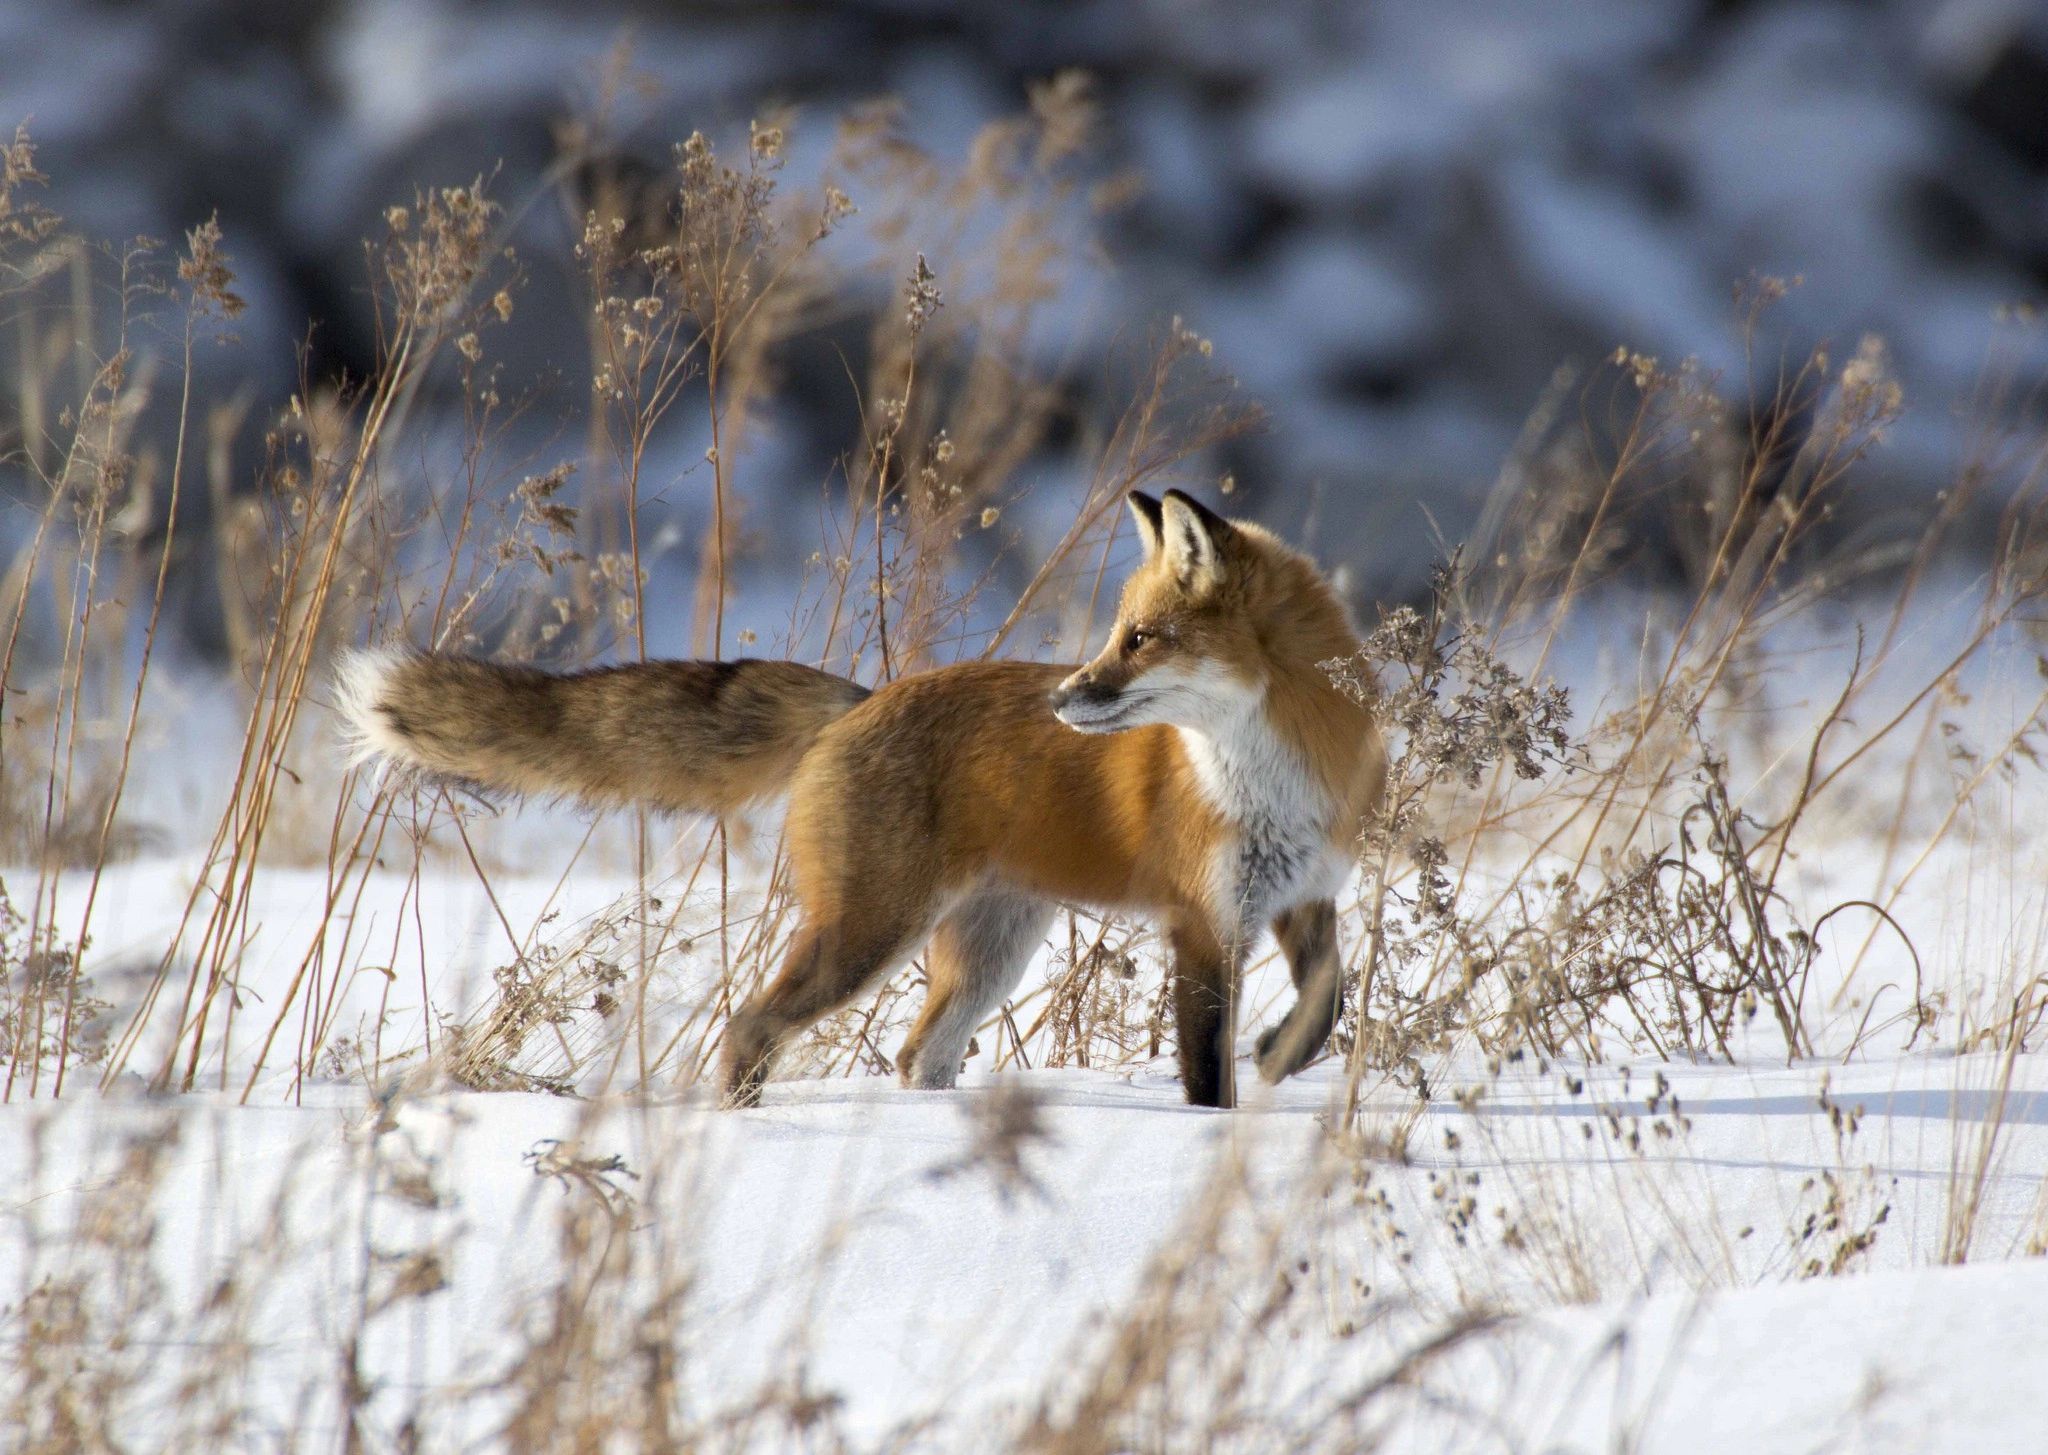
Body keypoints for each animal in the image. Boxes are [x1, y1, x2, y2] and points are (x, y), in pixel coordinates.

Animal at [338, 489, 1384, 1108]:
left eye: (1142, 638)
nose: (1060, 698)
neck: (1274, 770)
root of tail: (861, 699)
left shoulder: (1304, 896)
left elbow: (1328, 1002)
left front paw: (1280, 1054)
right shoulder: (1201, 921)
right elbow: (1206, 1069)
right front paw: (1219, 1129)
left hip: (987, 951)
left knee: (919, 1054)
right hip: (870, 934)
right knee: (753, 1024)